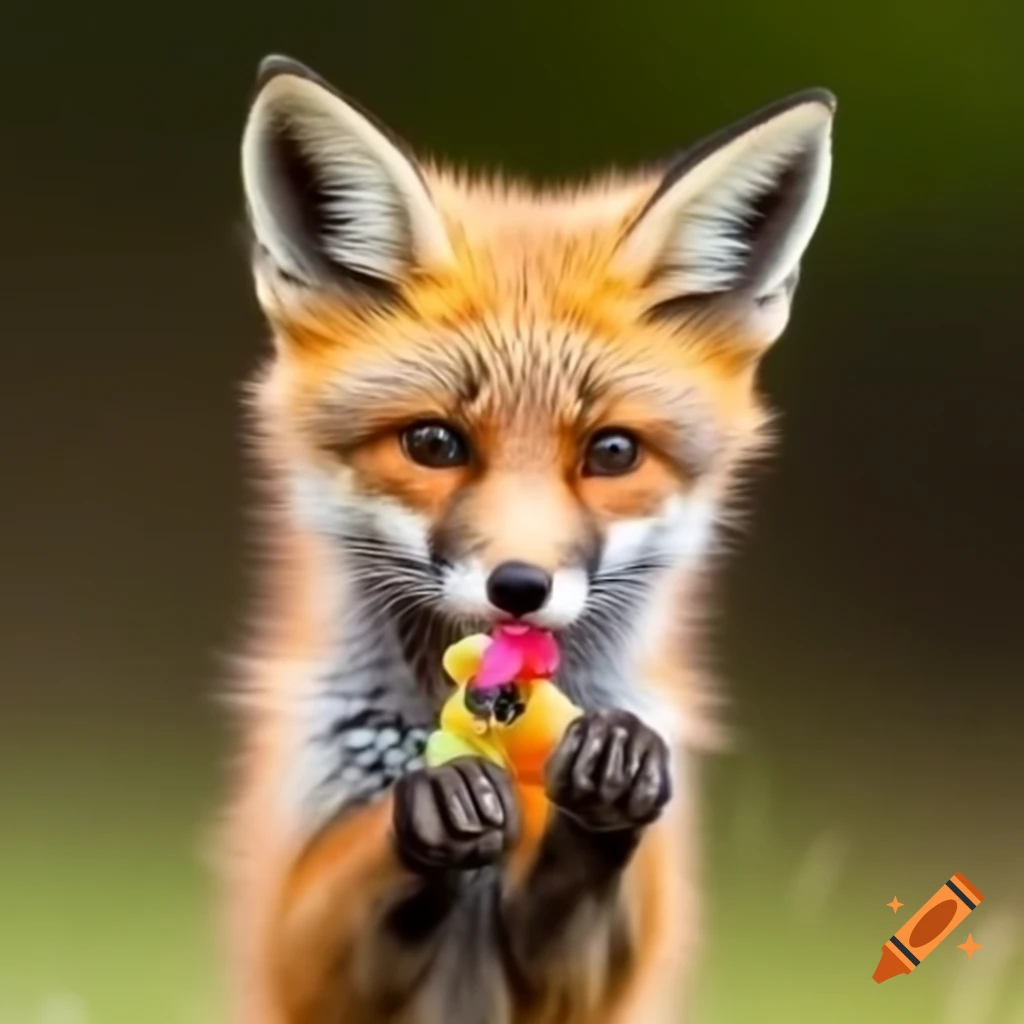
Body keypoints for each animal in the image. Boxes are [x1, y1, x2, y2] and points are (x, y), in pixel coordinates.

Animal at [223, 54, 836, 1024]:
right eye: (434, 444)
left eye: (613, 452)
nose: (519, 586)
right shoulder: (299, 954)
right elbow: (353, 885)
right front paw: (433, 809)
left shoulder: (588, 981)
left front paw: (609, 788)